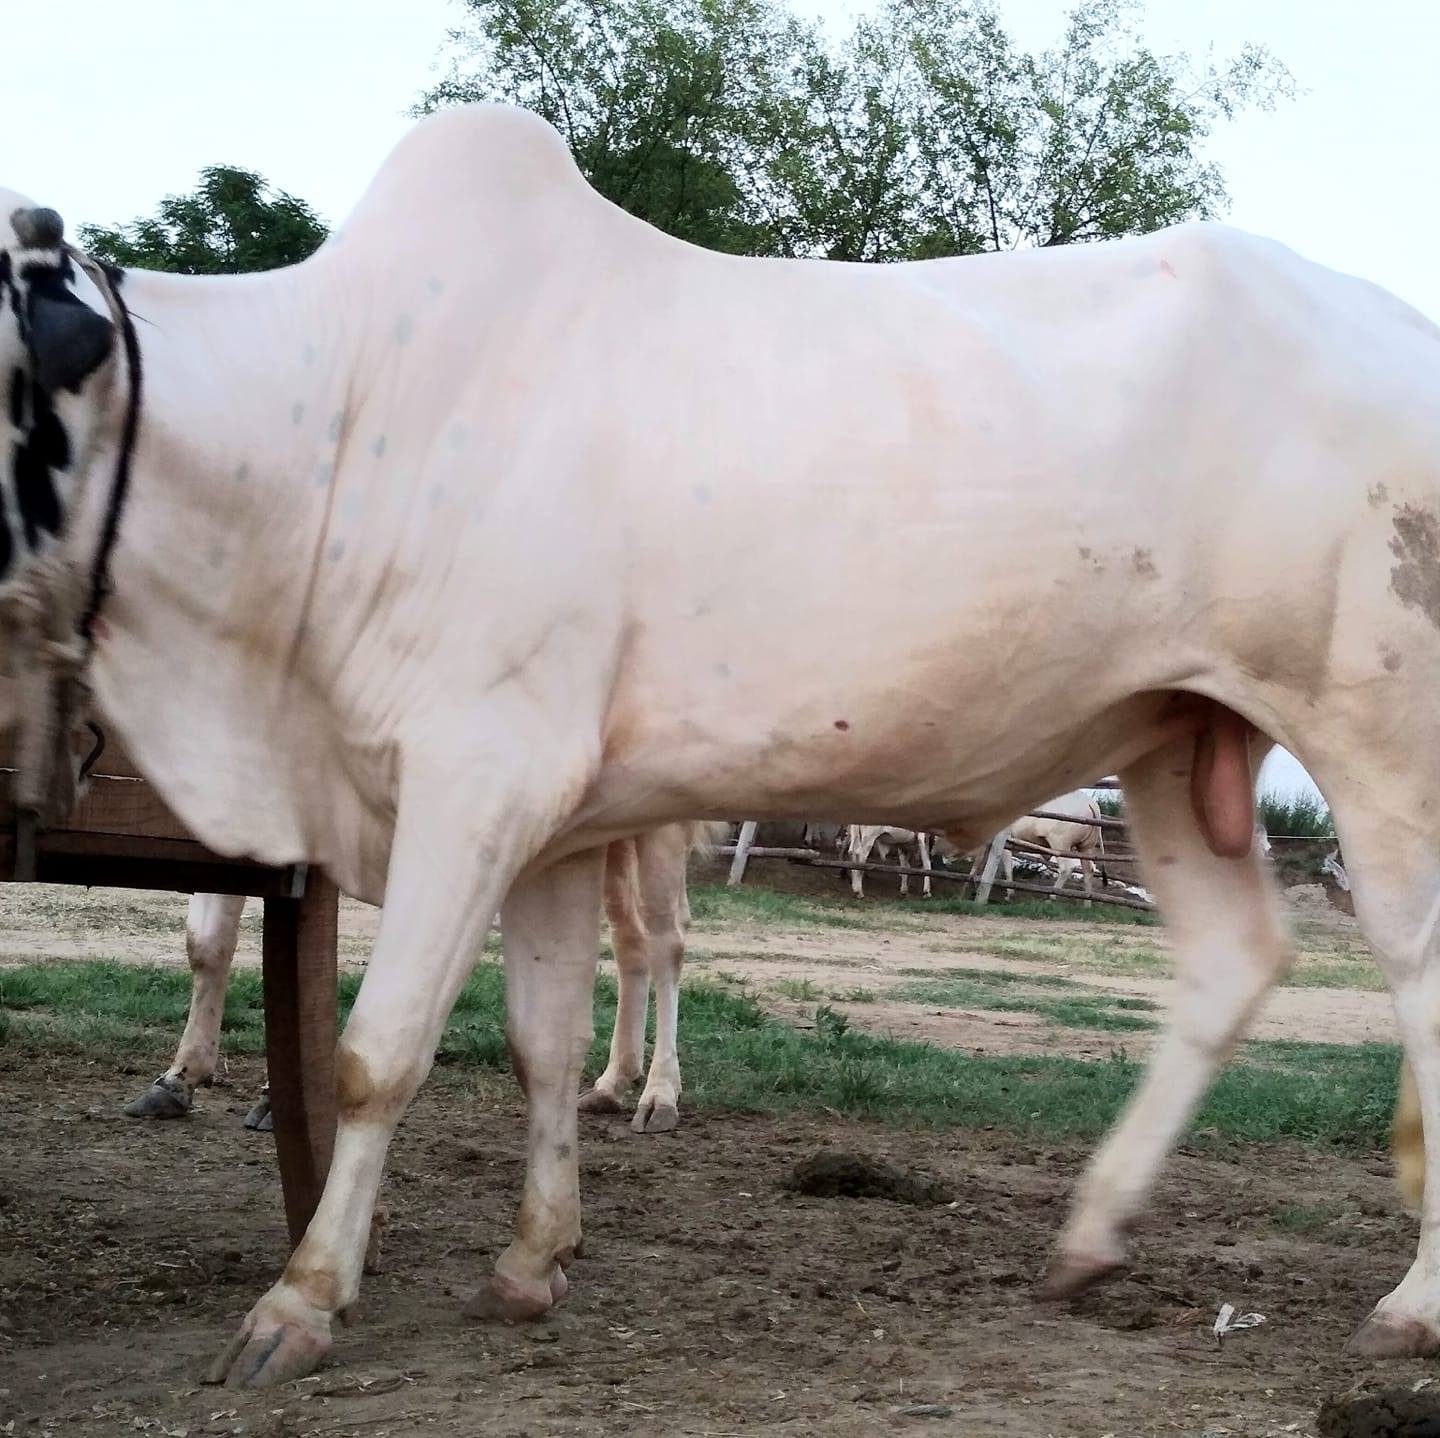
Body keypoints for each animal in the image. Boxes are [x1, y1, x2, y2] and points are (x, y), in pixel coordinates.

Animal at [6, 102, 1440, 1385]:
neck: (342, 426)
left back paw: (1409, 1302)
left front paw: (299, 1300)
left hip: (1379, 738)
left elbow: (378, 1052)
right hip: (1170, 733)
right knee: (1231, 957)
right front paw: (532, 1257)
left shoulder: (473, 778)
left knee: (1411, 963)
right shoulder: (546, 822)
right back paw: (1090, 1234)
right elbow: (536, 1038)